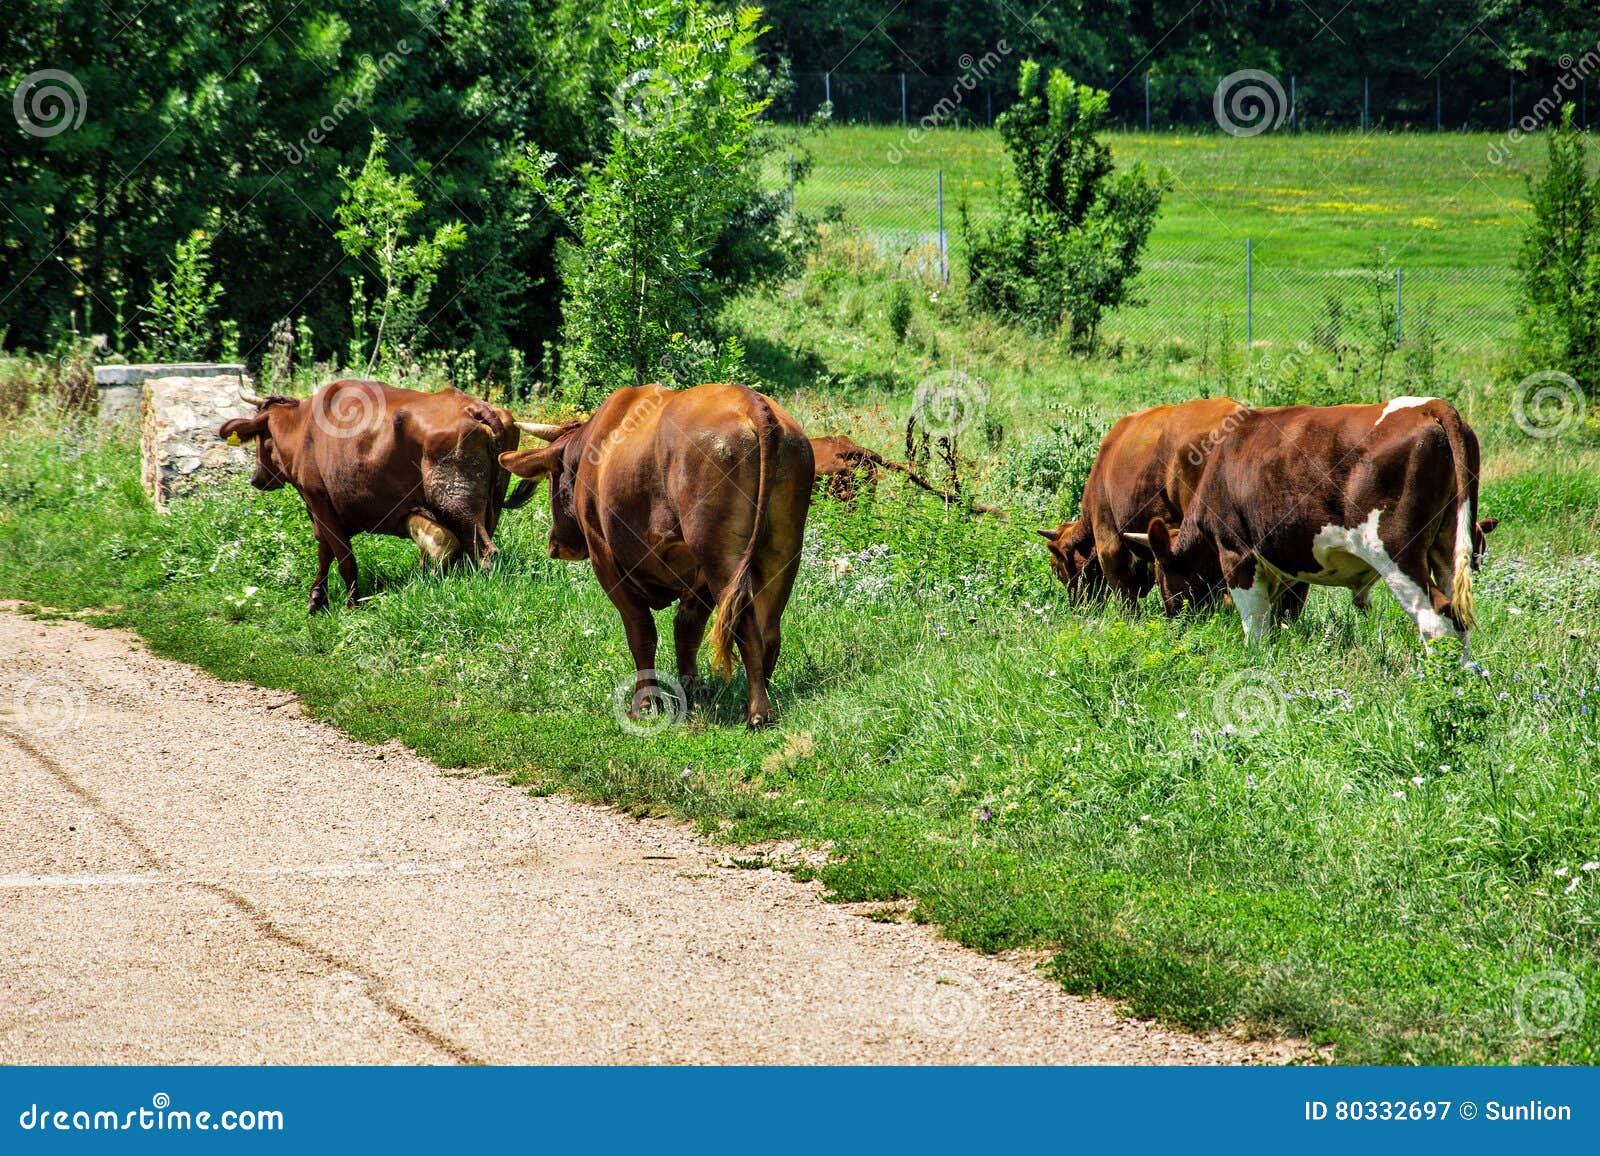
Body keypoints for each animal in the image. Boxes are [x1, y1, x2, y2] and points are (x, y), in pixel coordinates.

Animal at [216, 379, 531, 613]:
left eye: (259, 438)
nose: (256, 479)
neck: (303, 428)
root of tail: (474, 405)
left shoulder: (318, 500)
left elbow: (343, 557)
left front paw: (351, 607)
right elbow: (325, 551)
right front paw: (317, 598)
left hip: (456, 504)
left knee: (485, 552)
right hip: (490, 508)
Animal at [499, 383, 813, 728]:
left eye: (551, 481)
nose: (556, 545)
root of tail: (750, 402)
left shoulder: (606, 560)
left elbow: (641, 633)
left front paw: (646, 702)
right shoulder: (695, 578)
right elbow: (686, 629)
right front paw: (691, 691)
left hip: (720, 557)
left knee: (744, 624)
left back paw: (758, 711)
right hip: (782, 550)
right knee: (769, 629)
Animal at [1129, 397, 1498, 647]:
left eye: (1161, 574)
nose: (1175, 622)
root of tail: (1429, 406)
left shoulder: (1238, 555)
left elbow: (1255, 626)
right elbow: (1281, 617)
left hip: (1397, 553)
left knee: (1435, 618)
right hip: (1448, 547)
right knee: (1458, 616)